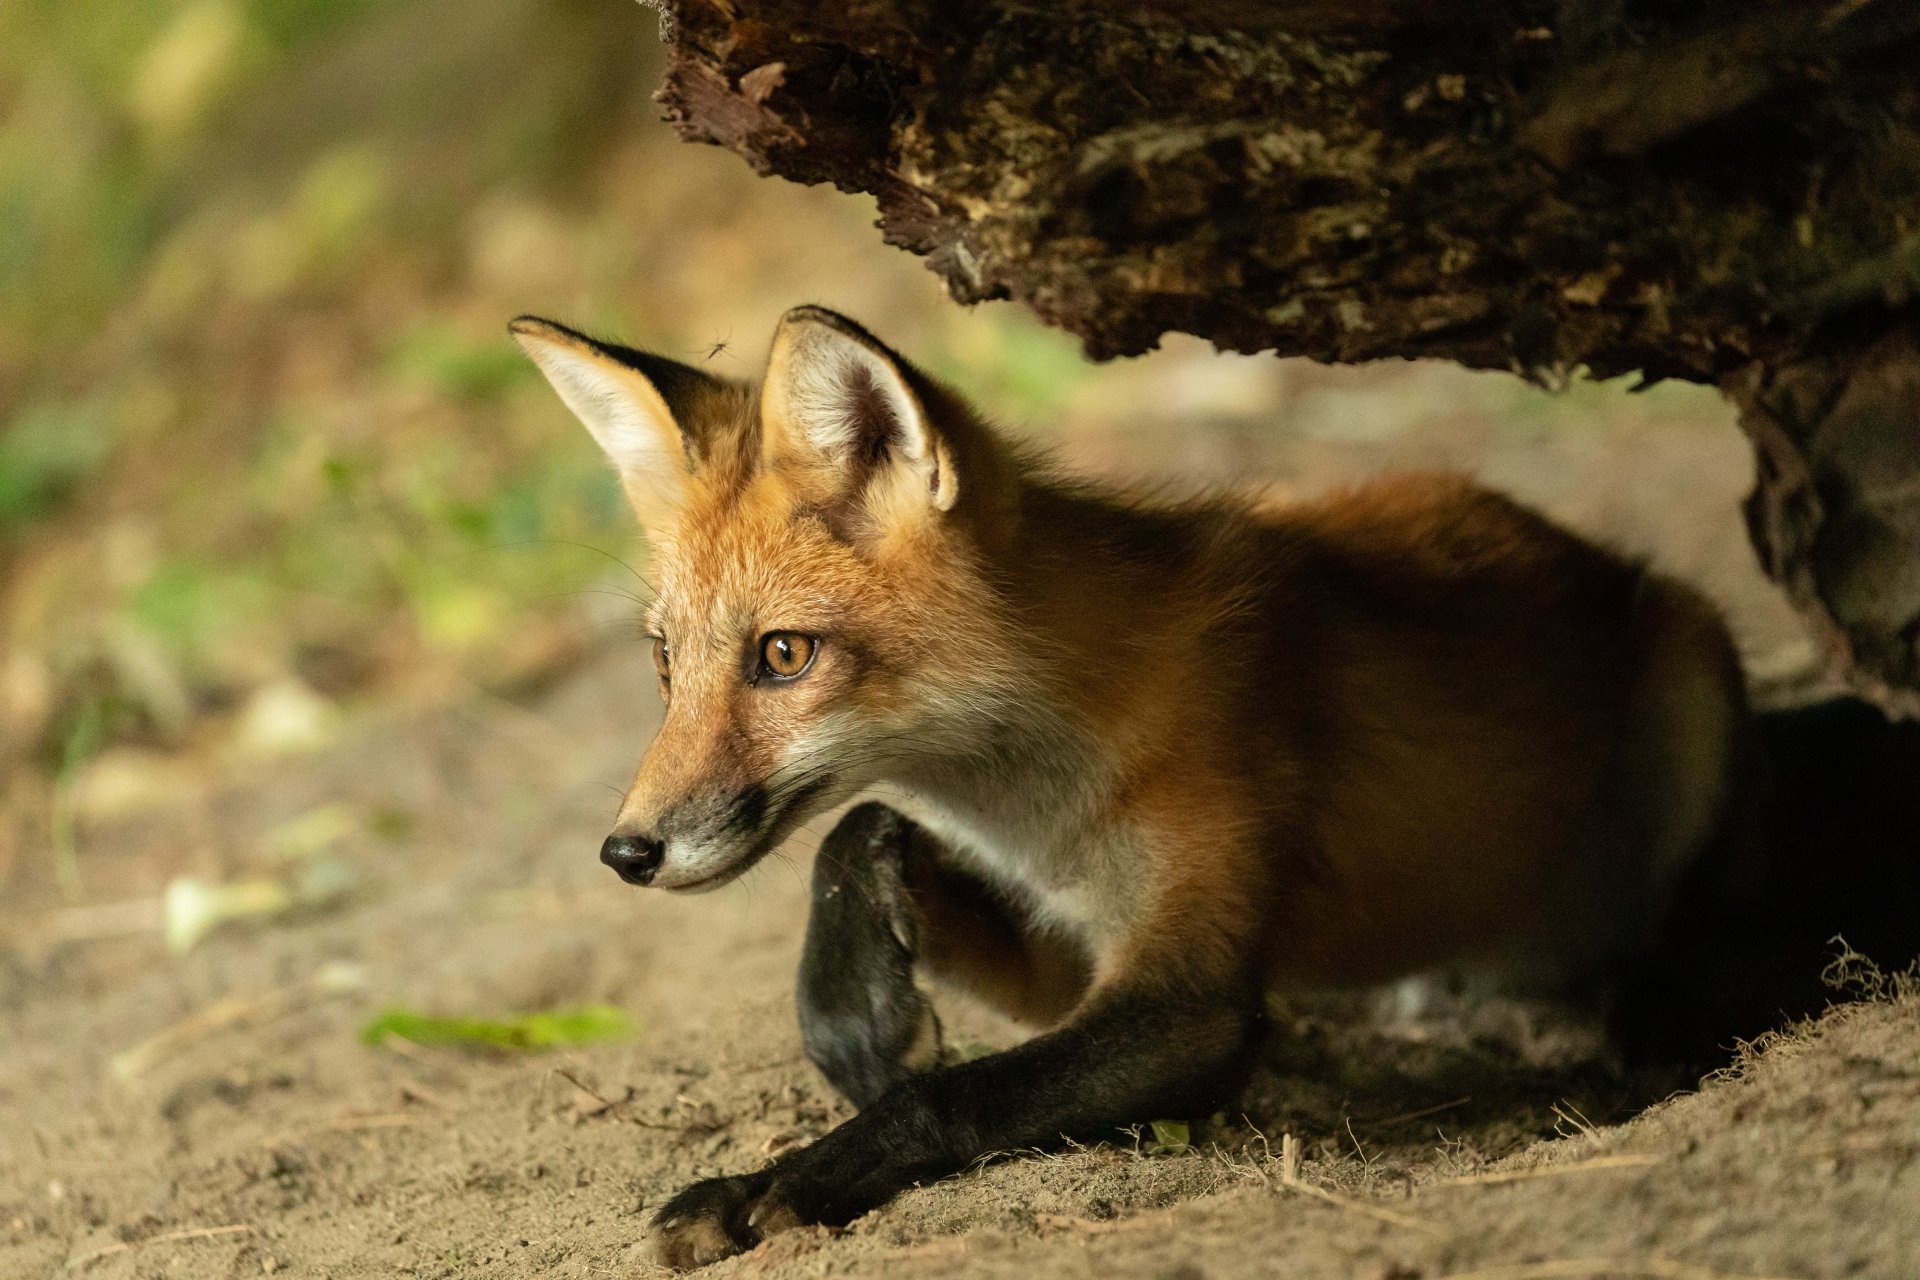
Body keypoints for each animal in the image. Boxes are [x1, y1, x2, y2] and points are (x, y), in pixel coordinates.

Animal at [508, 306, 1748, 1270]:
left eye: (782, 654)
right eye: (664, 662)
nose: (627, 851)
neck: (1044, 804)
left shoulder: (1189, 995)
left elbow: (954, 1093)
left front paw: (780, 1180)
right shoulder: (1067, 948)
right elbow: (859, 828)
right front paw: (855, 1014)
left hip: (1696, 680)